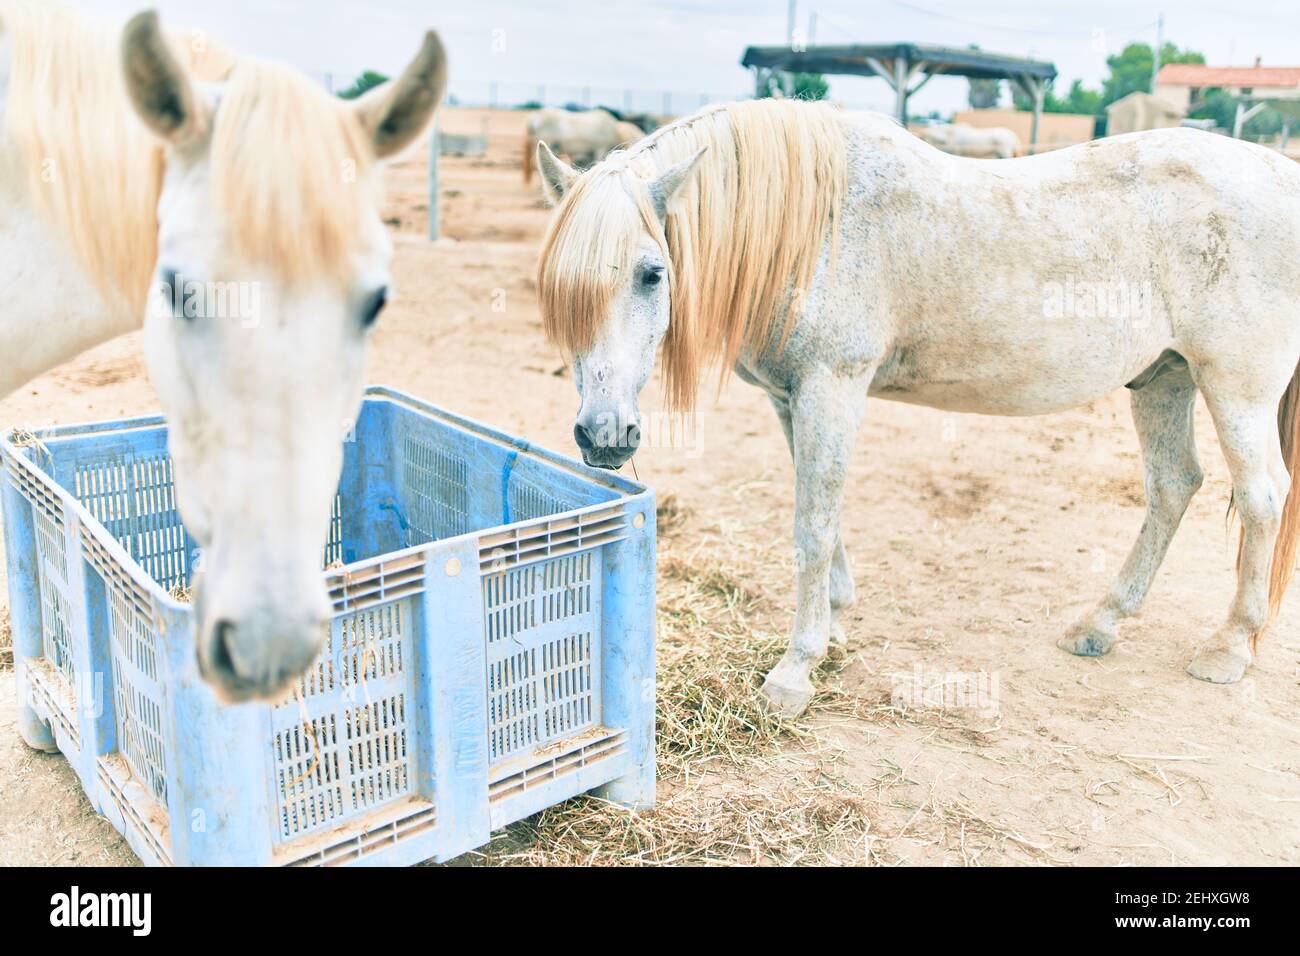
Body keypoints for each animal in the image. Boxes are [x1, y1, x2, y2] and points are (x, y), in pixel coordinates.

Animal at [534, 99, 1300, 716]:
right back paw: (1100, 624)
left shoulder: (832, 386)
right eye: (558, 286)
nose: (604, 435)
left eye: (652, 273)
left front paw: (795, 670)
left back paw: (1229, 647)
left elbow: (812, 525)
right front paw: (835, 623)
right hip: (1164, 378)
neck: (814, 226)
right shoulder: (794, 399)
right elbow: (823, 515)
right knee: (1173, 486)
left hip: (1236, 387)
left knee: (1262, 496)